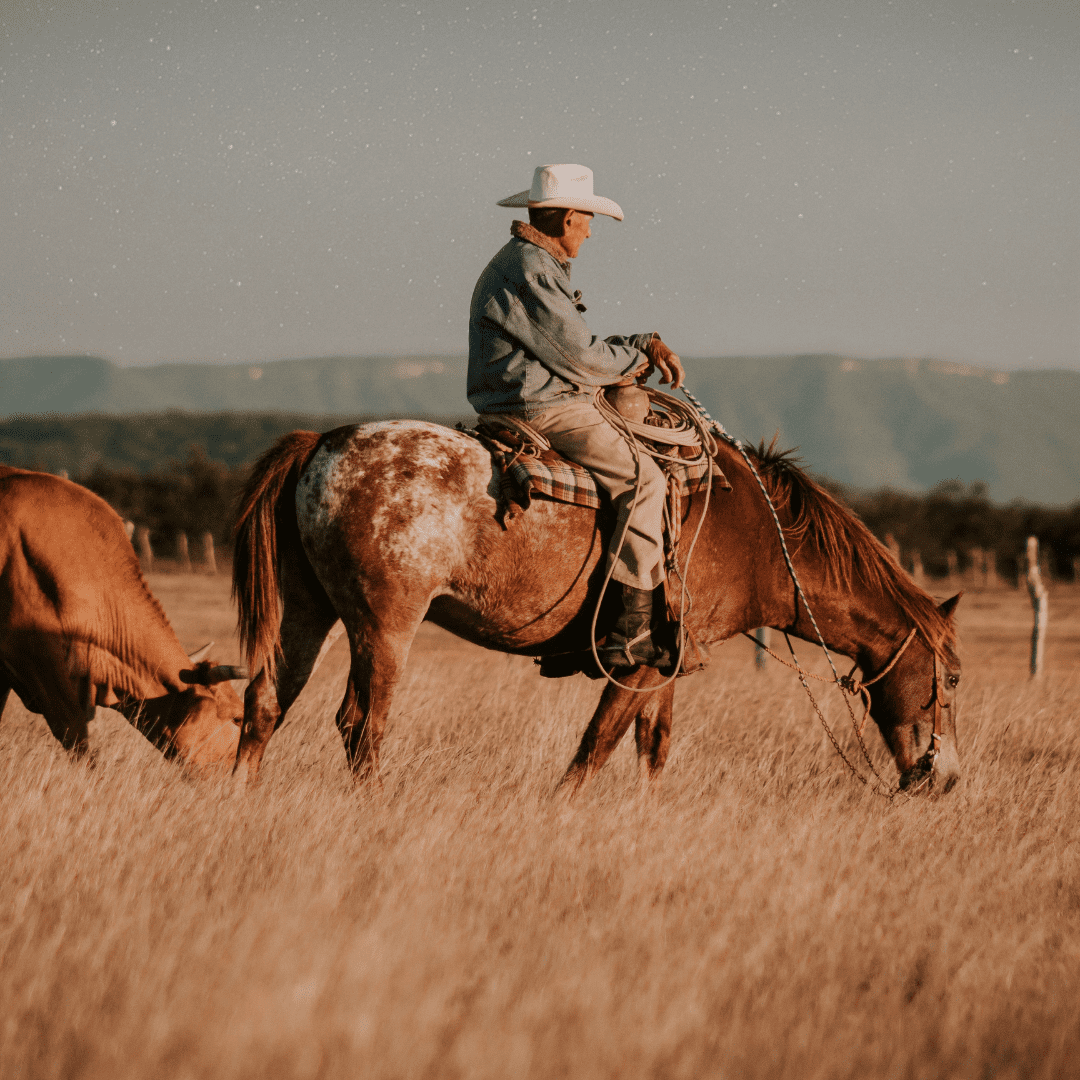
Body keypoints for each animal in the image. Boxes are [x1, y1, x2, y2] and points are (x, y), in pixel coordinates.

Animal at [229, 417, 962, 796]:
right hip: (384, 626)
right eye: (951, 679)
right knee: (361, 725)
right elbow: (594, 749)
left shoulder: (667, 662)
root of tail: (322, 442)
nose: (947, 778)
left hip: (310, 614)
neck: (752, 533)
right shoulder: (634, 666)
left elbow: (651, 747)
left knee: (266, 703)